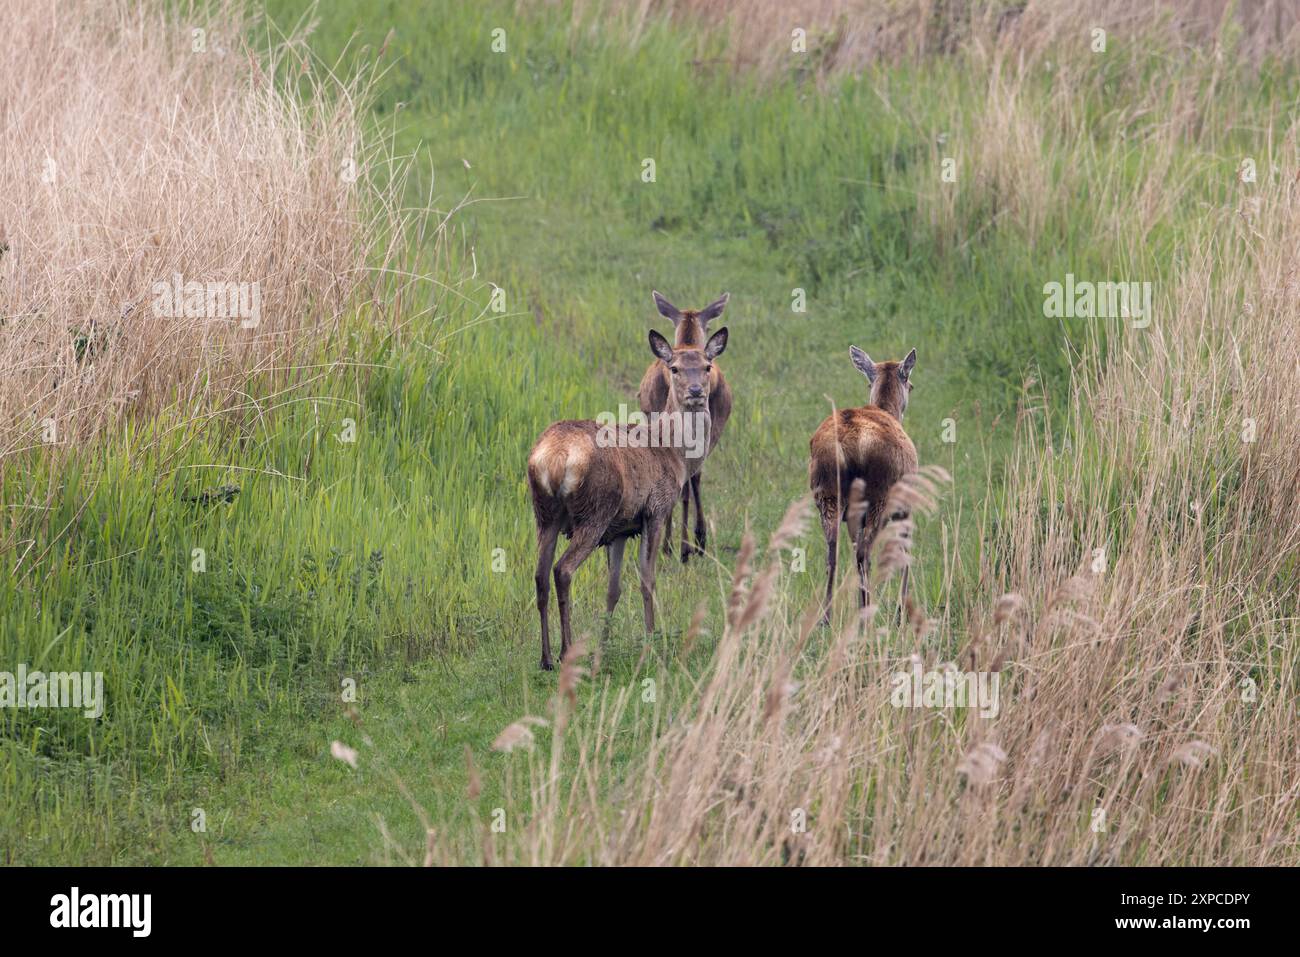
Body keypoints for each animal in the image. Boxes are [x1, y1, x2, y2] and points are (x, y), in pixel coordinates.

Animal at [528, 325, 730, 670]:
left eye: (707, 366)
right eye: (674, 368)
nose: (695, 391)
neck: (672, 452)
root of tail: (553, 459)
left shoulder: (620, 530)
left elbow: (613, 589)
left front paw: (603, 646)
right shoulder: (656, 509)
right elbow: (647, 579)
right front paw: (652, 644)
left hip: (545, 514)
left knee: (540, 575)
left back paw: (546, 658)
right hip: (595, 510)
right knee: (562, 570)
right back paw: (566, 651)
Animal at [809, 346, 918, 626]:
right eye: (910, 384)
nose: (911, 386)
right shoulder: (907, 505)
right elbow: (905, 552)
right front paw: (901, 612)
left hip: (827, 493)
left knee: (834, 552)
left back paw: (827, 617)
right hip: (880, 495)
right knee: (864, 553)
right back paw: (867, 613)